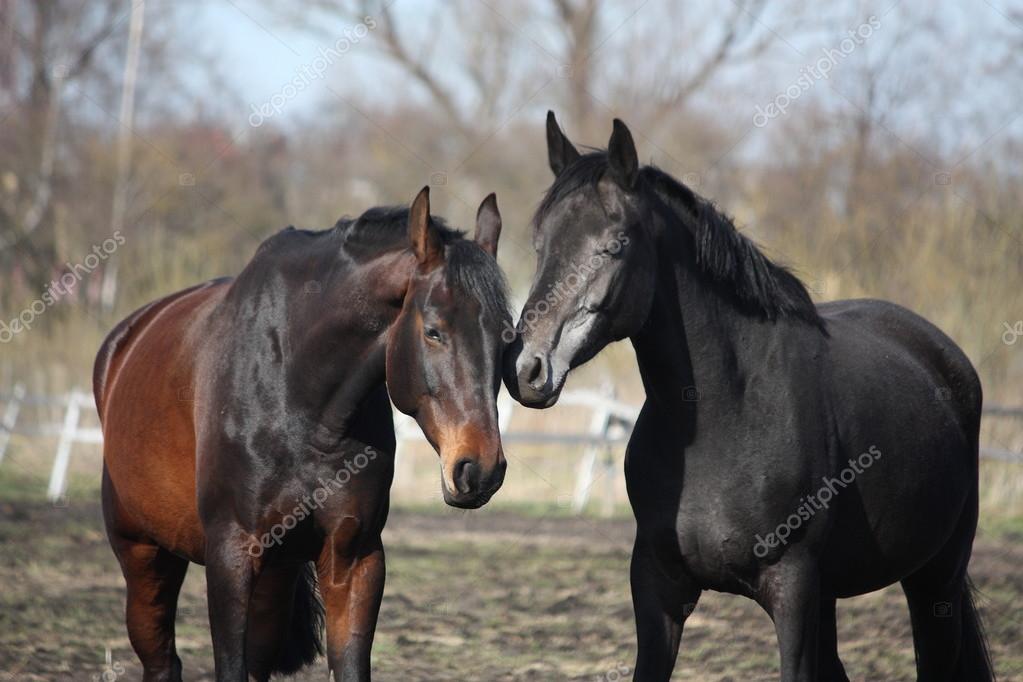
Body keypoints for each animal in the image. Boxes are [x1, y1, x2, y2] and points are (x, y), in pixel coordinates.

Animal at [95, 187, 511, 682]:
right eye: (433, 331)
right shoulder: (230, 556)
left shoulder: (354, 558)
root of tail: (124, 339)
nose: (480, 470)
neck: (300, 398)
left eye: (507, 336)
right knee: (161, 660)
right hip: (144, 555)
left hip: (275, 575)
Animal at [503, 112, 994, 681]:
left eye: (615, 244)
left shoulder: (793, 590)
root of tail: (946, 357)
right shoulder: (657, 586)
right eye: (540, 244)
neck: (726, 415)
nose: (525, 368)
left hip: (934, 580)